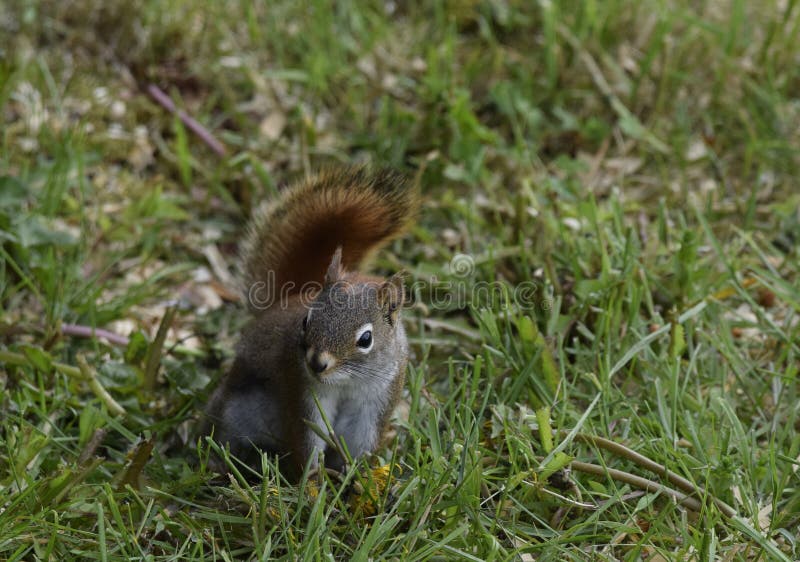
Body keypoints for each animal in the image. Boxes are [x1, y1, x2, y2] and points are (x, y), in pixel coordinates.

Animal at [203, 166, 418, 478]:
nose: (317, 363)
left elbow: (361, 441)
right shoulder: (302, 388)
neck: (346, 381)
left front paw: (357, 476)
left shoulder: (377, 399)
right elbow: (308, 436)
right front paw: (314, 479)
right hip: (235, 410)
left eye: (366, 339)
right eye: (306, 321)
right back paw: (219, 462)